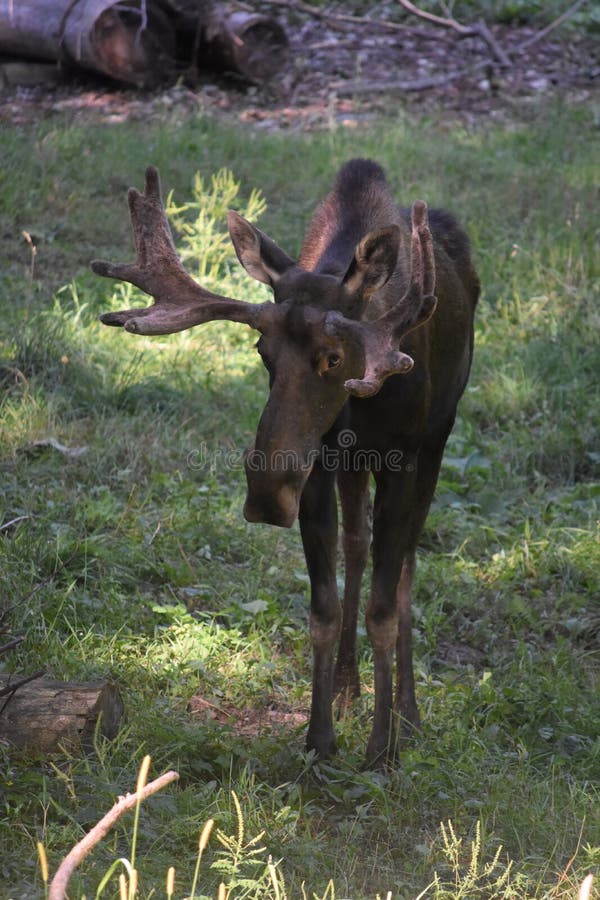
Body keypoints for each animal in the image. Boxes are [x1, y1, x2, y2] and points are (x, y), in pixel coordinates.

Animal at [92, 160, 479, 767]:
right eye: (261, 352)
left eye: (333, 357)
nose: (266, 497)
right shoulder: (320, 465)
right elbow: (323, 608)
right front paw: (319, 741)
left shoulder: (405, 455)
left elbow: (384, 607)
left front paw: (383, 749)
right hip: (354, 465)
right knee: (358, 544)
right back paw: (348, 688)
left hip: (439, 436)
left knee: (408, 563)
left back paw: (409, 714)